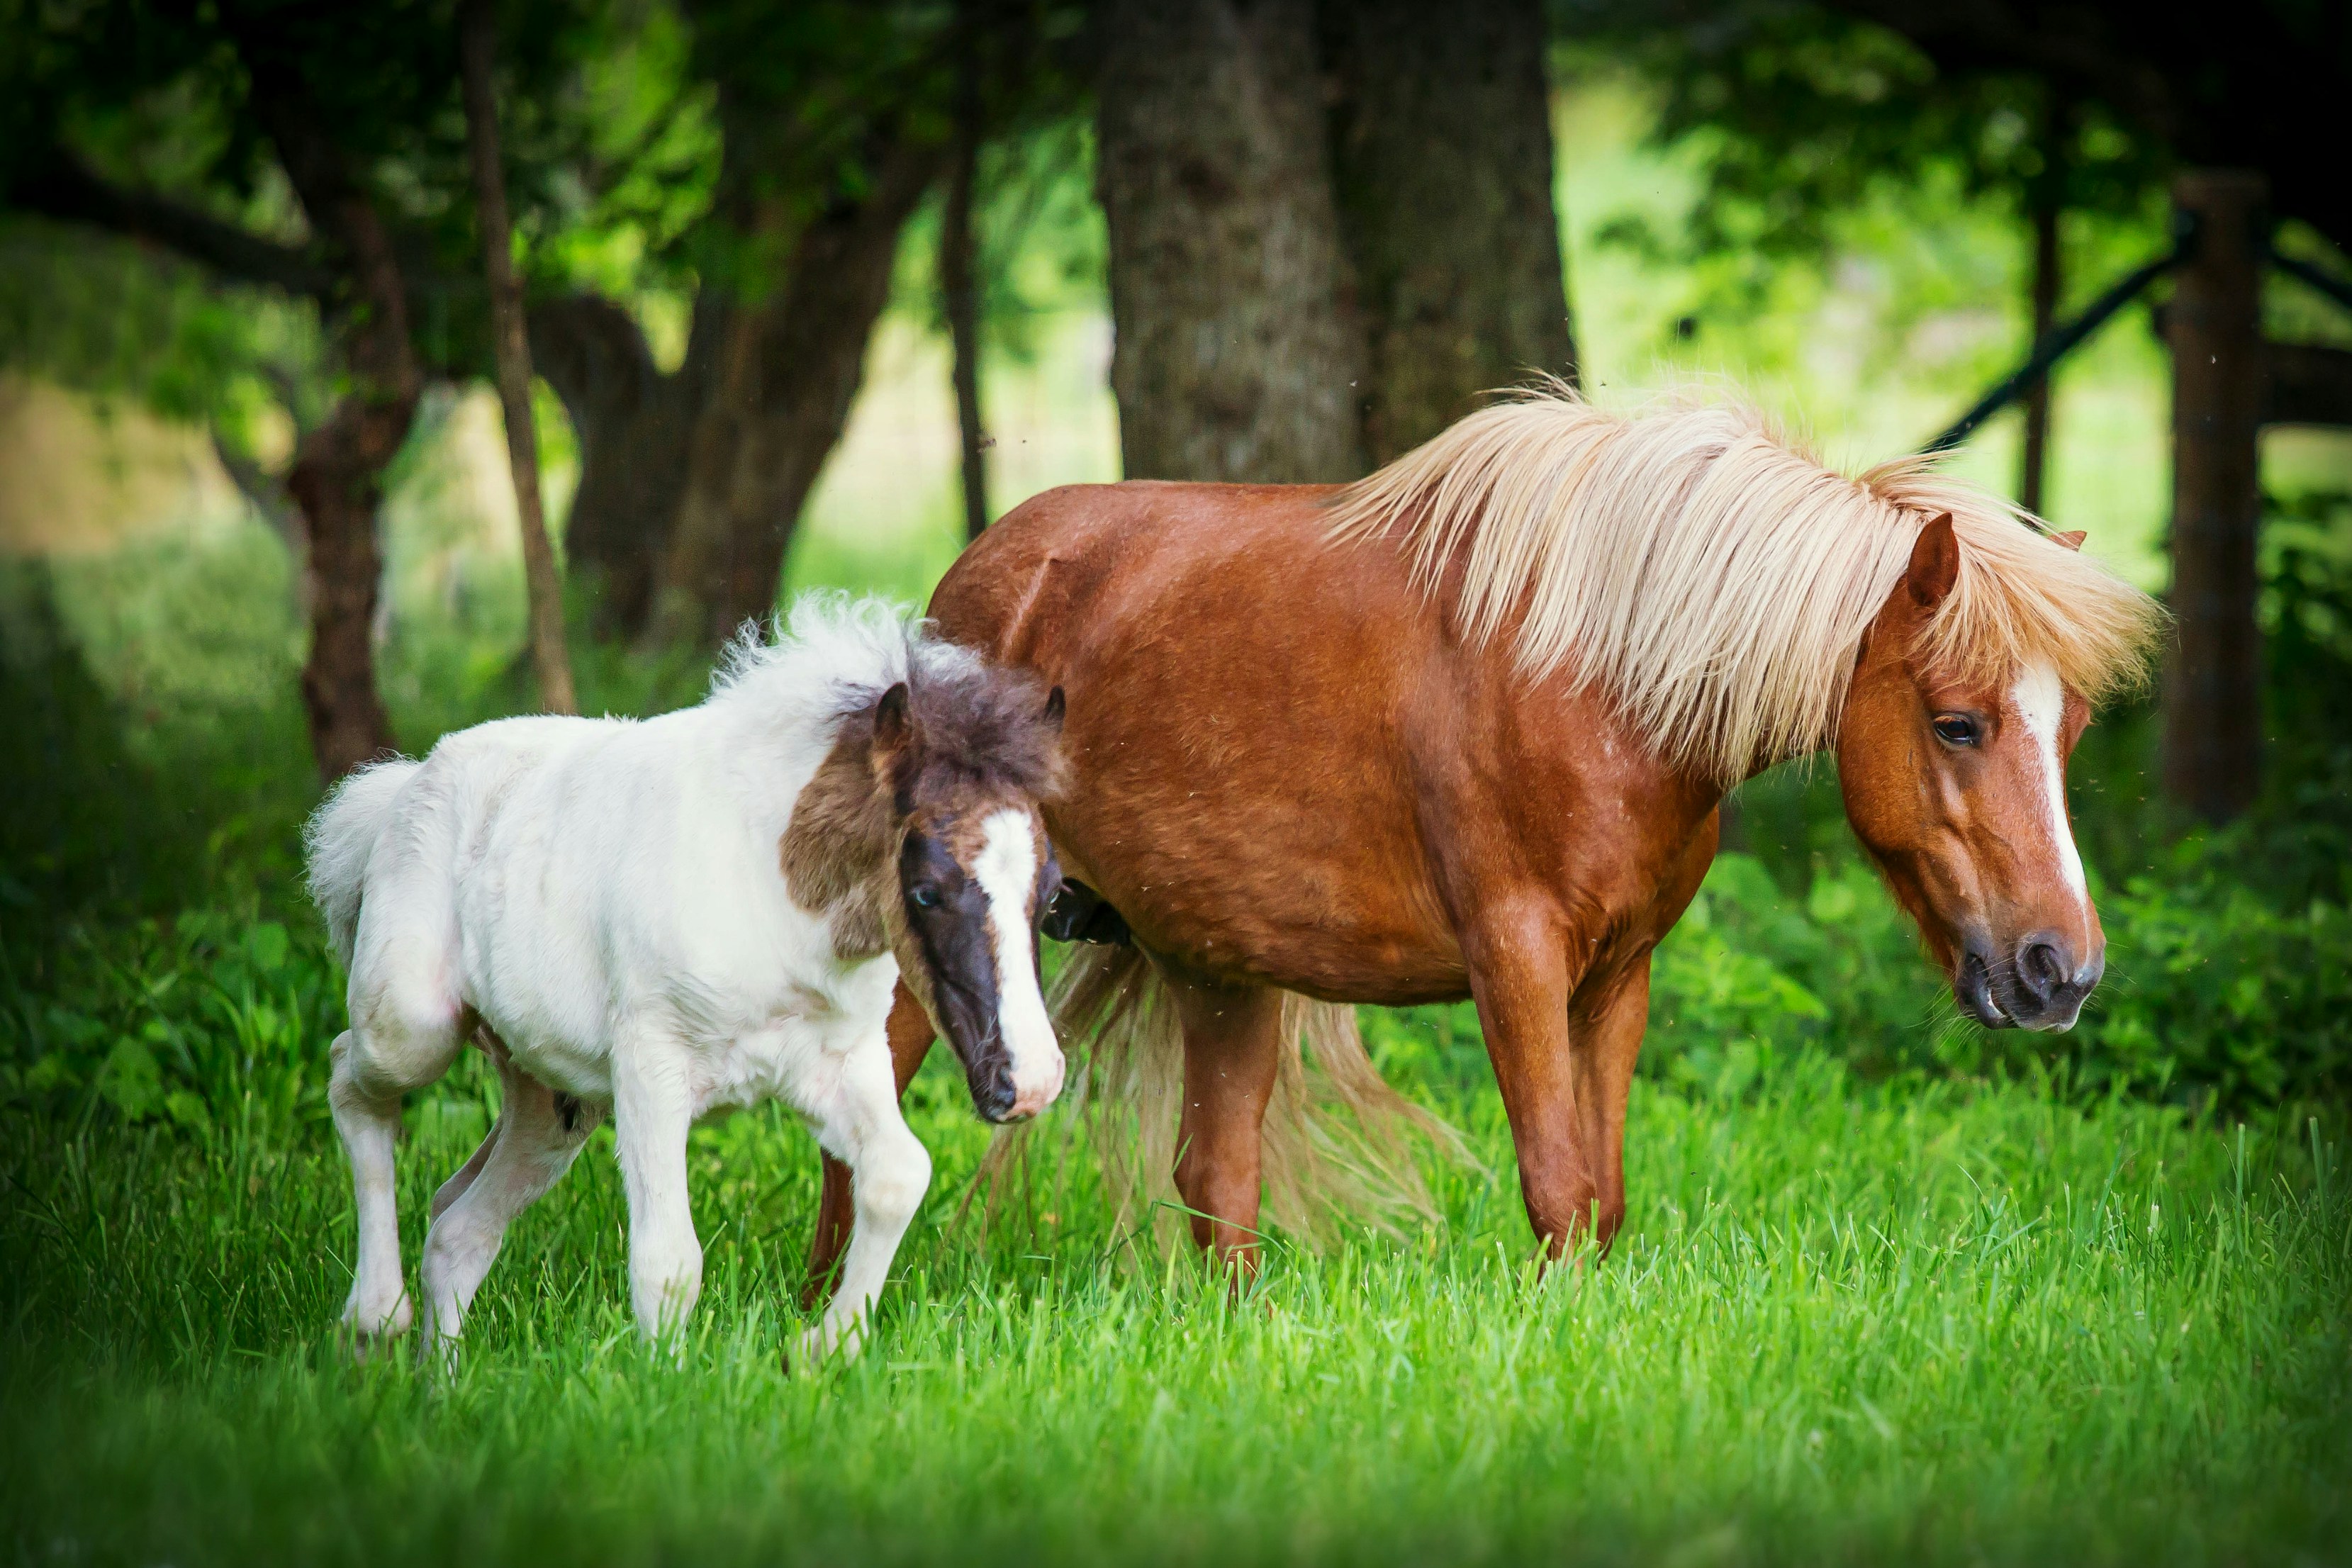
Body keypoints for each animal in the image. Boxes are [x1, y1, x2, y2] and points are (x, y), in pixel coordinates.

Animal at [305, 596, 1069, 1361]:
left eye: (1053, 892)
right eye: (927, 892)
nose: (1031, 1082)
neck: (770, 890)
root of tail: (406, 784)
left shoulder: (837, 1060)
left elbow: (897, 1175)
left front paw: (820, 1351)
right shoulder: (652, 1063)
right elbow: (668, 1262)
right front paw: (664, 1381)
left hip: (554, 1097)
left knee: (455, 1227)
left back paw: (439, 1374)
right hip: (413, 1024)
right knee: (349, 1077)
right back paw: (374, 1317)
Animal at [801, 389, 2166, 1286]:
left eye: (2071, 727)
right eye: (1956, 722)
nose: (2059, 970)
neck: (1600, 676)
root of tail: (978, 581)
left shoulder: (1617, 976)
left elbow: (1602, 1196)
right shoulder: (1514, 957)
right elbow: (1554, 1185)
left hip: (1220, 972)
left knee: (1216, 1183)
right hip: (934, 969)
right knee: (857, 1149)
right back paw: (826, 1318)